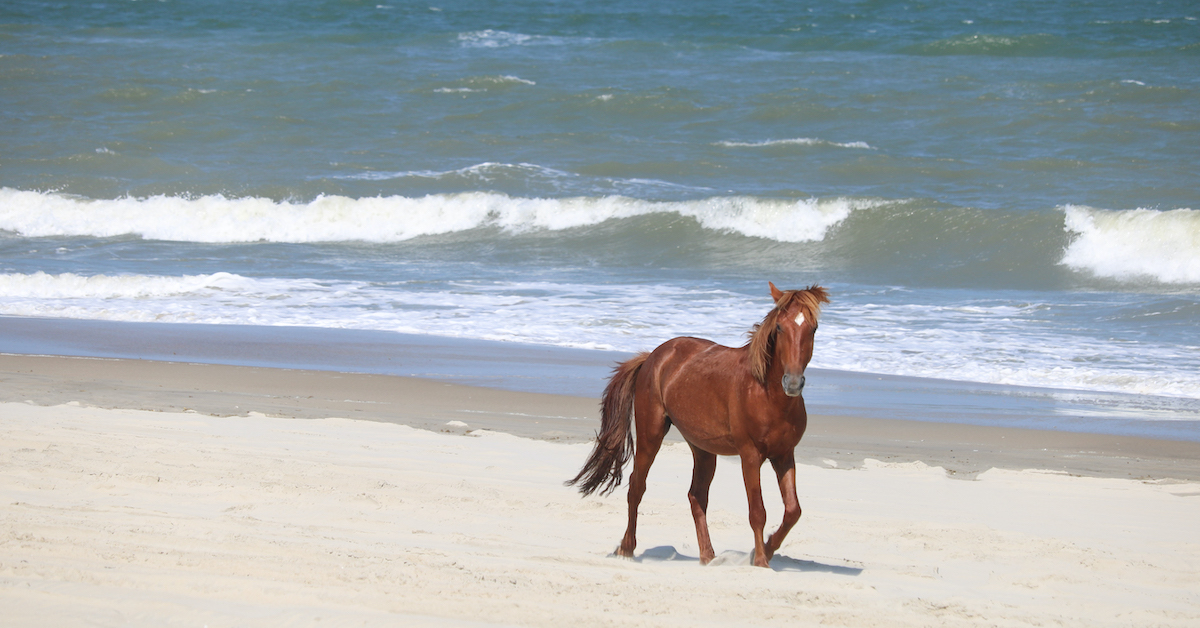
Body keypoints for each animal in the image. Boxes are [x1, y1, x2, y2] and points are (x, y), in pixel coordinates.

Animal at [567, 283, 829, 568]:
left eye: (813, 328)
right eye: (780, 327)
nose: (792, 383)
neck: (765, 394)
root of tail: (654, 356)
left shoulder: (784, 455)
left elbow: (793, 510)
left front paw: (768, 550)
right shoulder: (750, 456)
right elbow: (757, 511)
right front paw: (760, 561)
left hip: (703, 450)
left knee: (696, 496)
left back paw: (708, 556)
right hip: (651, 435)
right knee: (637, 487)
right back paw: (627, 548)